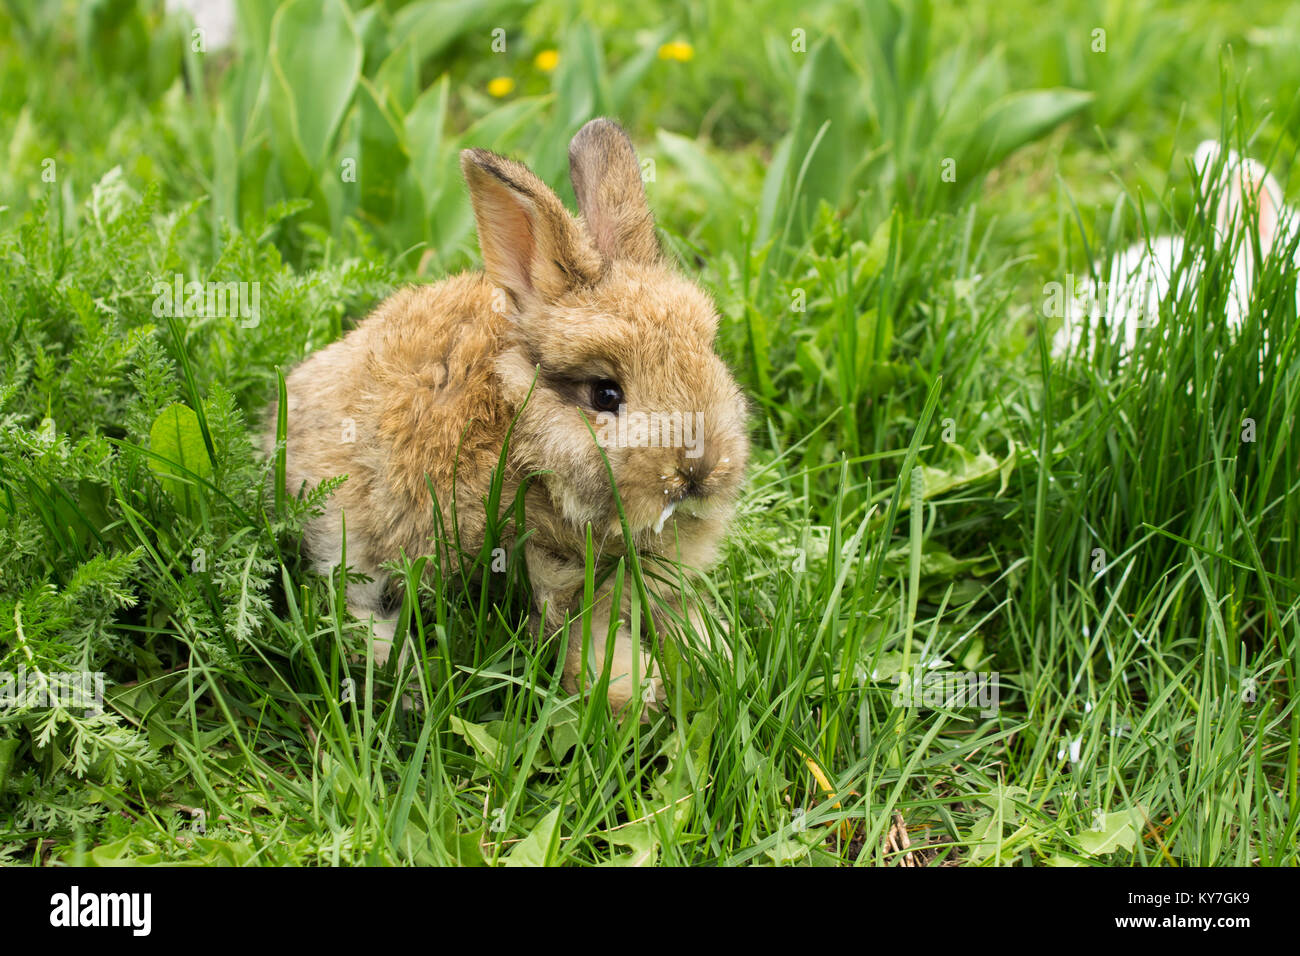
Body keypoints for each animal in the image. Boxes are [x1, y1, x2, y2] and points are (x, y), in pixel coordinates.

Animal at [264, 118, 750, 712]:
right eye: (605, 394)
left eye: (709, 352)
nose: (699, 471)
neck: (523, 436)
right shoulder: (547, 573)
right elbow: (582, 641)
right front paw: (631, 691)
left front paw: (713, 659)